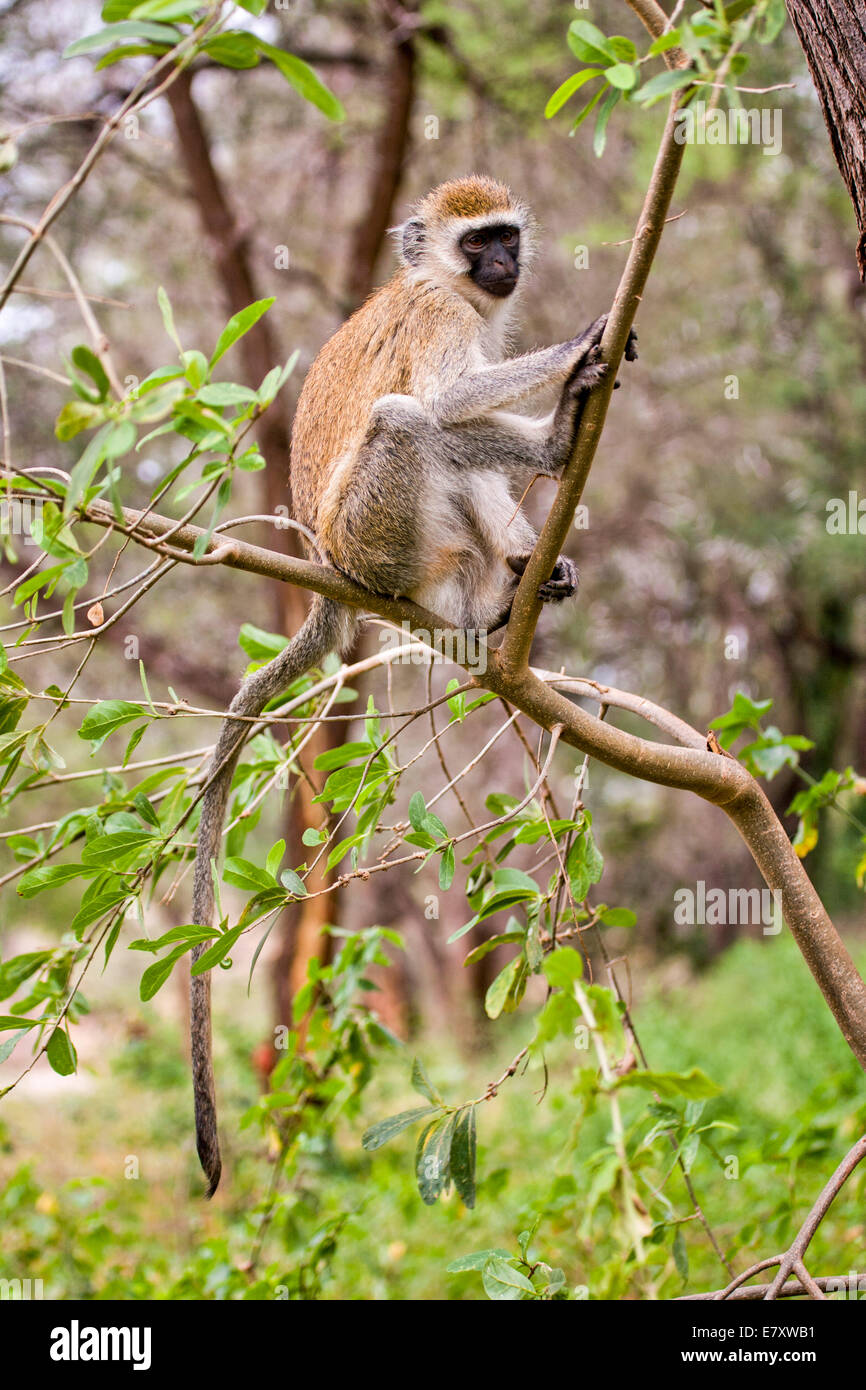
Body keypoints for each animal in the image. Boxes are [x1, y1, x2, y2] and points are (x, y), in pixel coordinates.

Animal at [189, 175, 637, 1195]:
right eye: (479, 244)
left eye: (506, 235)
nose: (505, 263)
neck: (447, 286)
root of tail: (327, 565)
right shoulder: (441, 316)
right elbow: (449, 396)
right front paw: (574, 364)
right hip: (380, 534)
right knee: (418, 422)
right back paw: (544, 476)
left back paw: (513, 584)